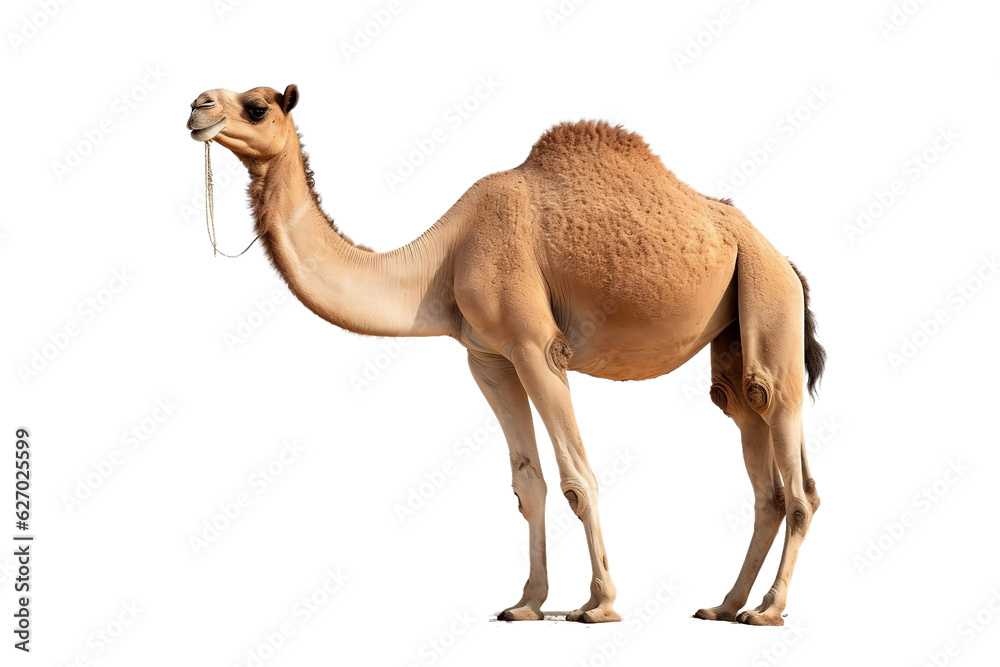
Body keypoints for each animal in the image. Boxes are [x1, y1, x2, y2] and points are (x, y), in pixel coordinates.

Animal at [186, 84, 826, 626]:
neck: (444, 257)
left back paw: (769, 610)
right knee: (751, 440)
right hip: (735, 332)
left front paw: (599, 604)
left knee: (789, 456)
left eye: (257, 106)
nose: (197, 107)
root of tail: (787, 261)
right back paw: (726, 605)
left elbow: (577, 477)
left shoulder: (536, 345)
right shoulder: (488, 358)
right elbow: (528, 483)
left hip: (768, 300)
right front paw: (527, 603)